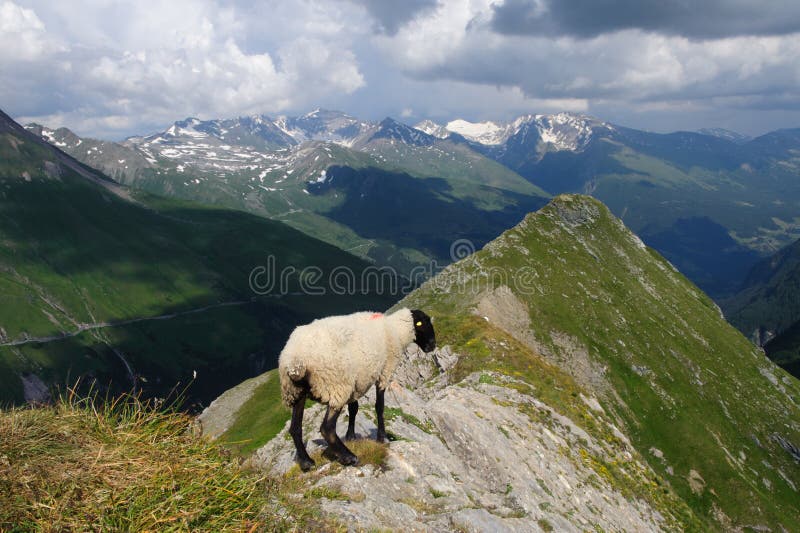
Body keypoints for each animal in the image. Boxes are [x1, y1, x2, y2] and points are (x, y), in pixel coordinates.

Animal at [279, 307, 436, 470]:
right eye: (424, 323)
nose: (432, 345)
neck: (395, 330)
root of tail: (295, 362)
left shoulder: (356, 383)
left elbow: (353, 409)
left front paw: (351, 436)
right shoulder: (384, 372)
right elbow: (379, 406)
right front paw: (382, 438)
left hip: (296, 391)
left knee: (295, 428)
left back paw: (306, 462)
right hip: (337, 385)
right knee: (327, 428)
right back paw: (349, 457)